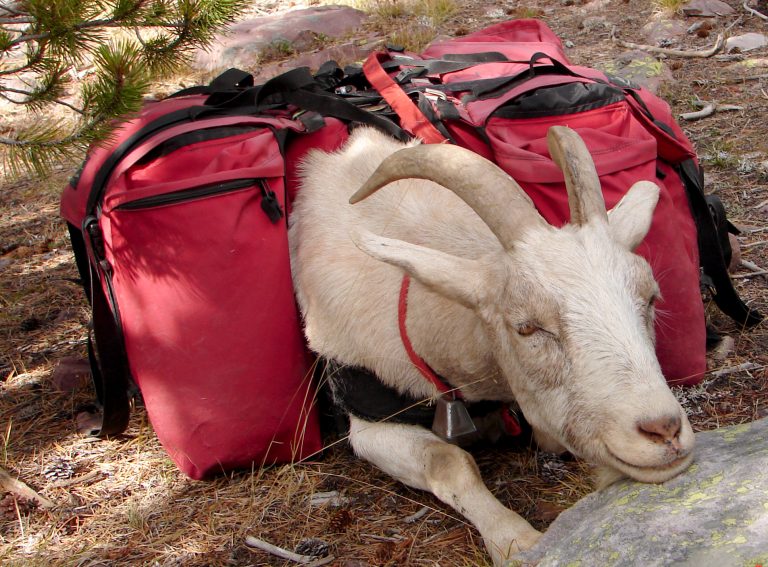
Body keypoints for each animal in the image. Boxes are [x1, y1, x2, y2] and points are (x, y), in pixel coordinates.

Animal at [288, 125, 694, 565]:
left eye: (651, 297)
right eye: (527, 327)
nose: (664, 430)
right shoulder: (368, 421)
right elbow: (449, 461)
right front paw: (516, 540)